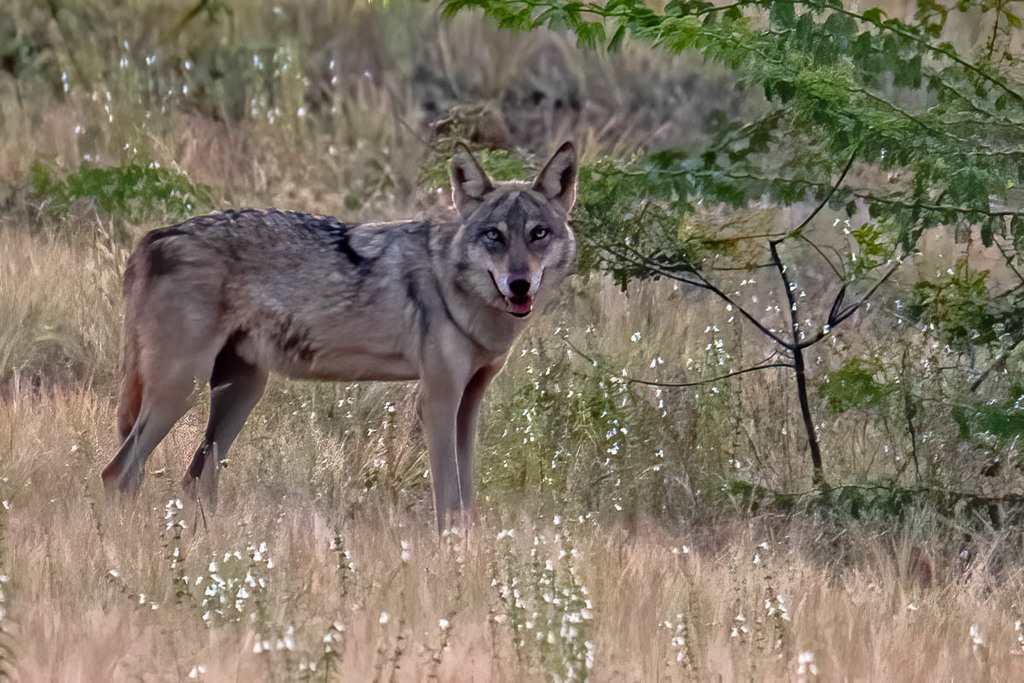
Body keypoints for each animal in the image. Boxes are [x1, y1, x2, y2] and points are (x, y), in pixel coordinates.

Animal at [101, 142, 578, 528]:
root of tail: (152, 238)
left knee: (194, 480)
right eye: (494, 236)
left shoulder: (469, 402)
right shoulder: (437, 399)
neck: (452, 283)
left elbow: (466, 499)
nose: (520, 285)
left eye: (538, 234)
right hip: (184, 390)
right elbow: (446, 497)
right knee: (118, 473)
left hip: (242, 392)